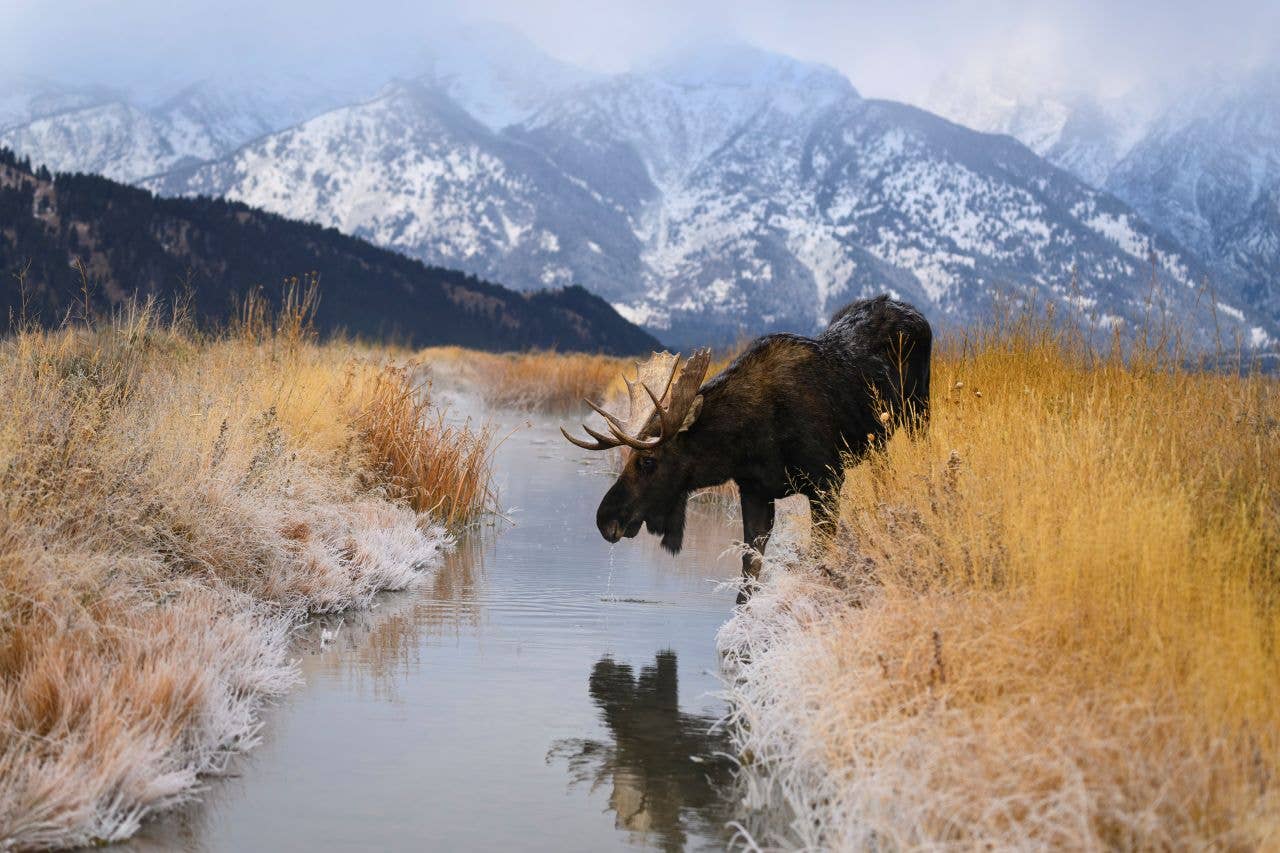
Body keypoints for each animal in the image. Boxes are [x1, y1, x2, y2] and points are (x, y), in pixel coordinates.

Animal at [562, 294, 932, 604]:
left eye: (648, 461)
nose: (604, 518)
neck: (747, 443)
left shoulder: (827, 481)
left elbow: (817, 555)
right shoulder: (754, 490)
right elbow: (748, 570)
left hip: (918, 413)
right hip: (879, 442)